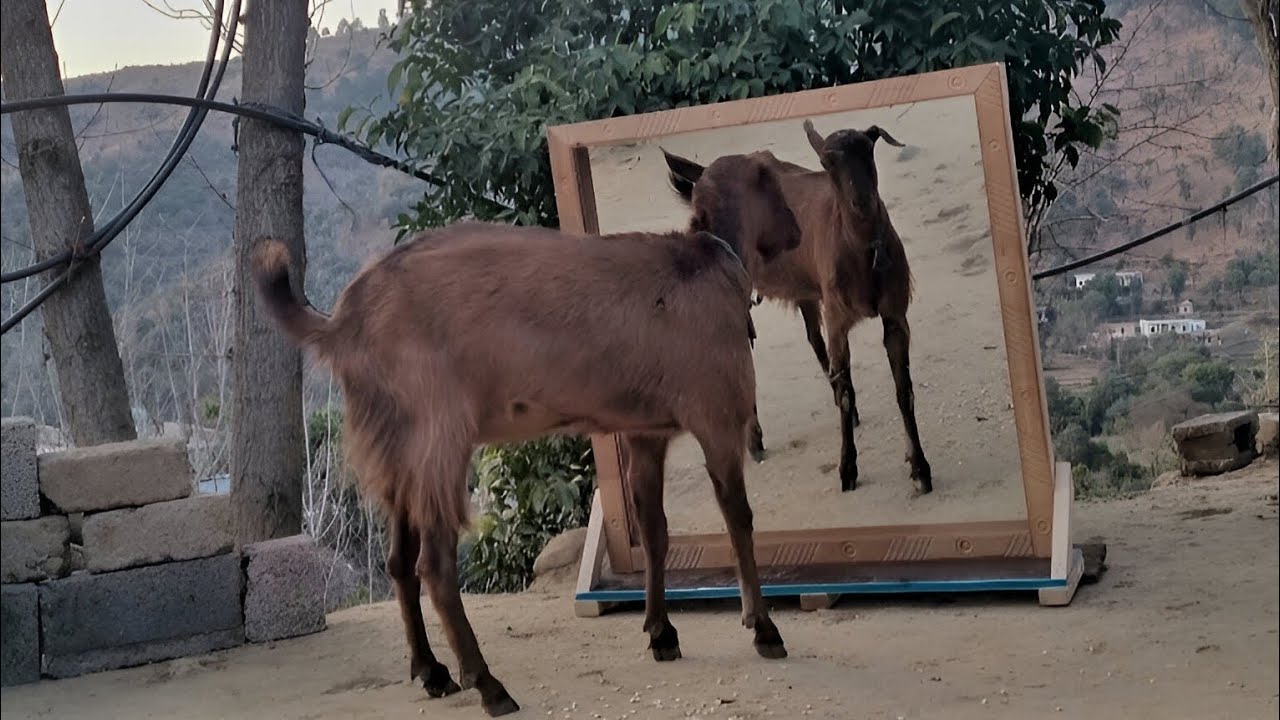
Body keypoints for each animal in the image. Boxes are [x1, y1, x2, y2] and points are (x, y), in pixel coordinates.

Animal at [250, 159, 801, 717]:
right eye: (774, 178)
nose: (796, 233)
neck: (705, 262)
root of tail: (345, 321)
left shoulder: (644, 429)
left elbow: (655, 529)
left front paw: (661, 632)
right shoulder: (717, 416)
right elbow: (739, 518)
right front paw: (764, 628)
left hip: (398, 444)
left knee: (400, 560)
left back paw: (432, 671)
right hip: (438, 435)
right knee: (436, 565)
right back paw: (488, 684)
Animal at [662, 119, 933, 496]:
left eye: (869, 148)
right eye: (826, 163)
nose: (862, 202)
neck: (865, 252)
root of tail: (701, 174)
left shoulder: (894, 315)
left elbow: (902, 389)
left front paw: (920, 468)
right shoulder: (837, 317)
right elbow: (846, 389)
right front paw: (847, 469)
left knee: (811, 342)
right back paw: (754, 440)